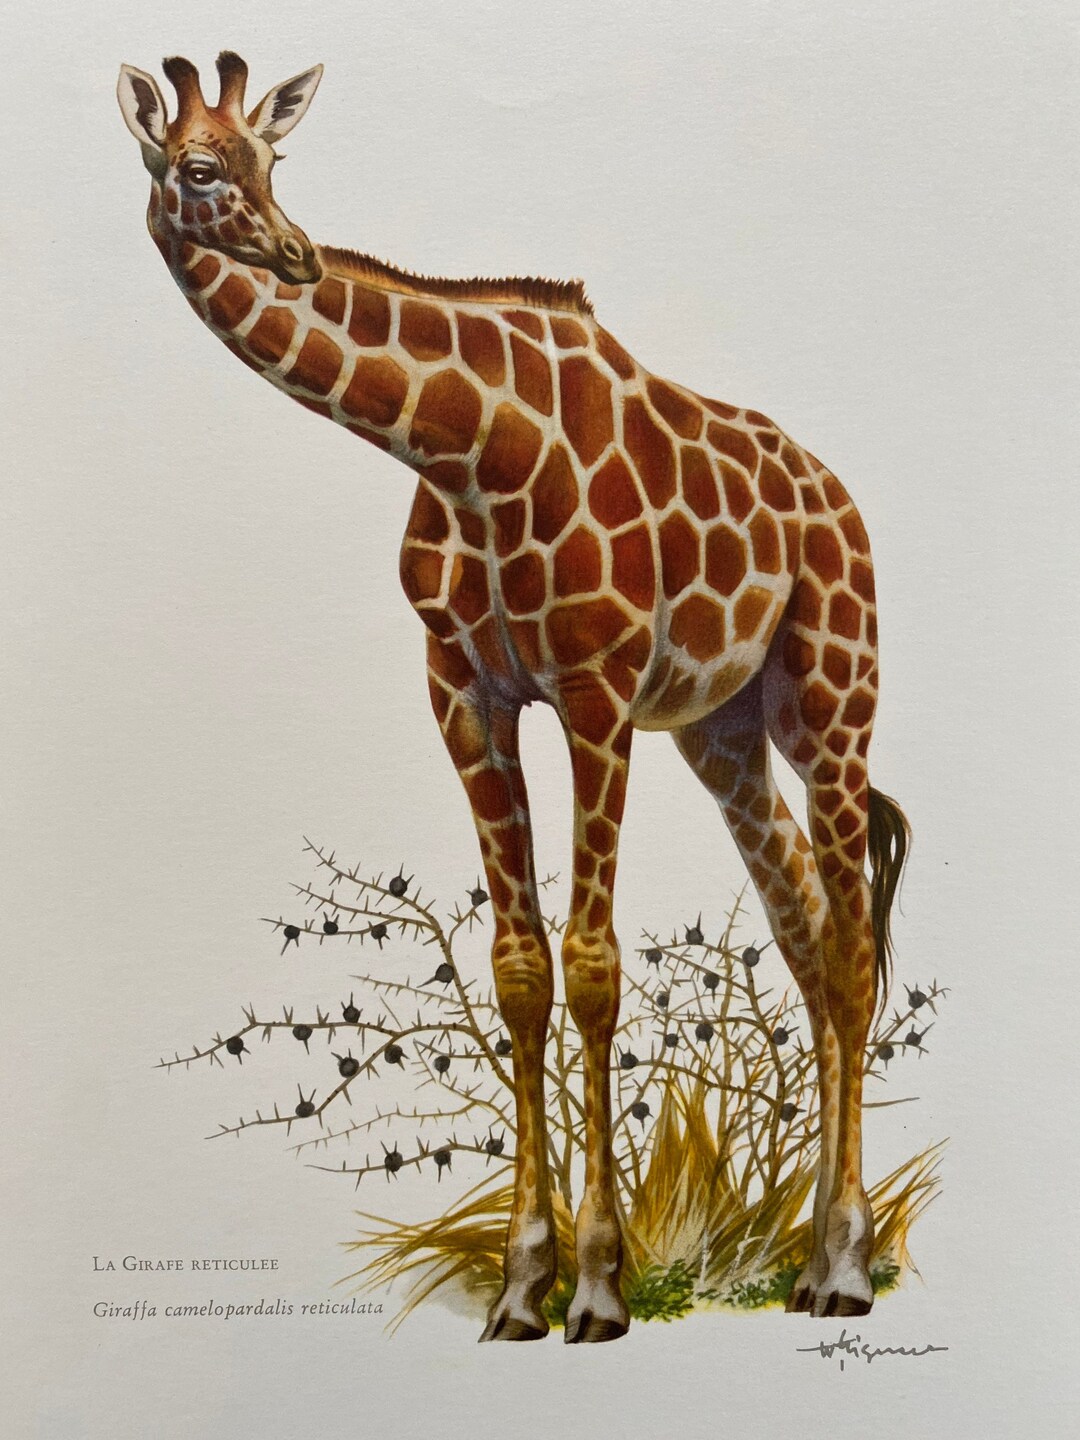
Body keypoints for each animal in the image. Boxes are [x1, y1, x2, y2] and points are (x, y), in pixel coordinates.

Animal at [118, 52, 910, 1342]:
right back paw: (799, 1259)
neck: (466, 449)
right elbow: (522, 973)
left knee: (847, 943)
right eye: (196, 165)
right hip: (724, 734)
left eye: (272, 157)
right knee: (801, 928)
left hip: (833, 700)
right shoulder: (463, 688)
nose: (292, 251)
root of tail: (839, 500)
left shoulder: (595, 688)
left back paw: (841, 1266)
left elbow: (592, 968)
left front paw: (596, 1286)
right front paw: (524, 1285)